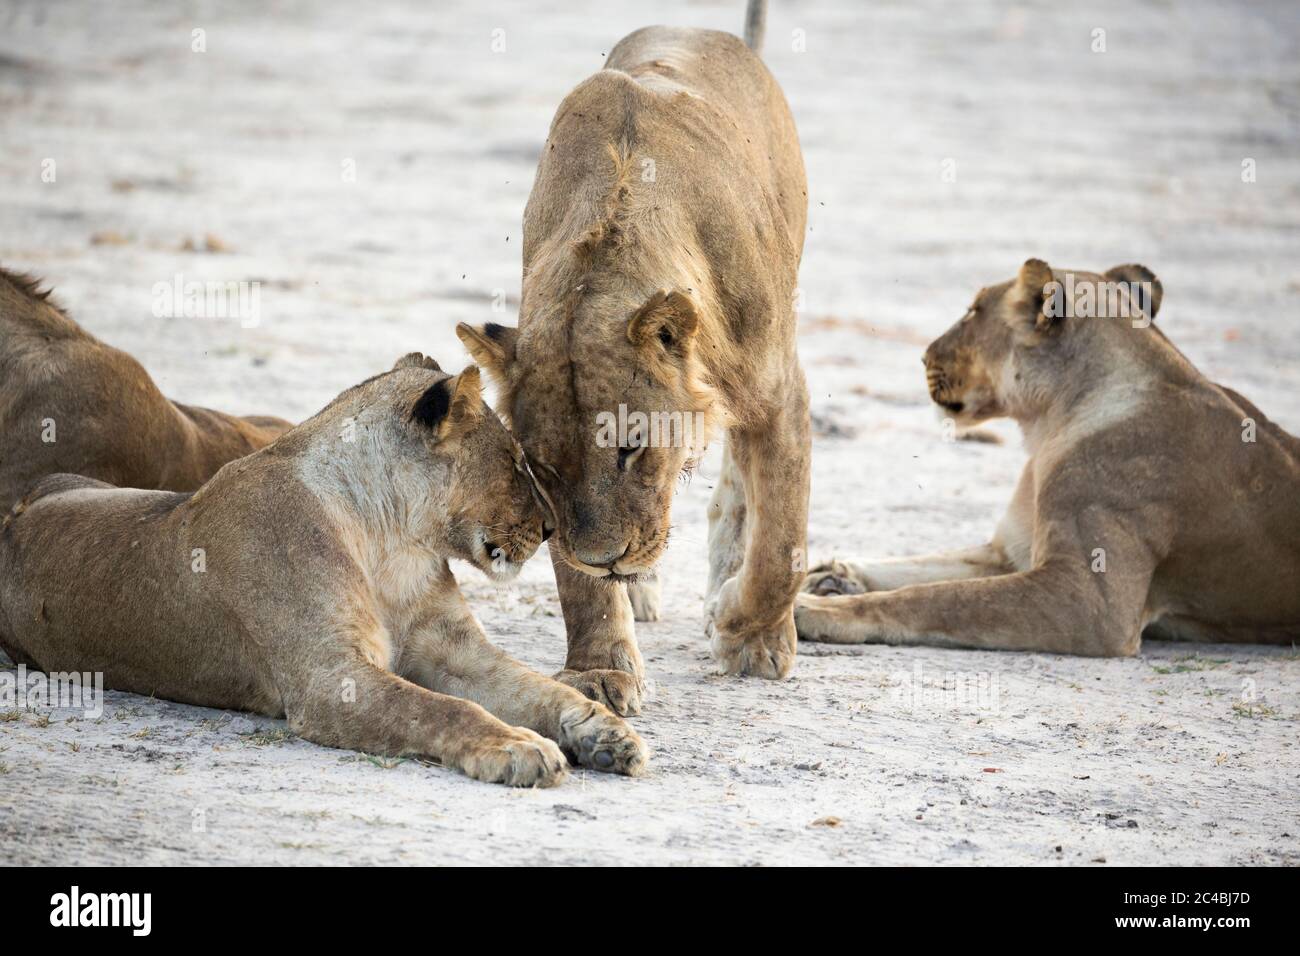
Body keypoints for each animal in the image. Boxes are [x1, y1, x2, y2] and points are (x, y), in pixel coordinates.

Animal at [0, 354, 647, 786]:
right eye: (515, 463)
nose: (549, 528)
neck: (392, 540)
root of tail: (15, 516)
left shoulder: (455, 650)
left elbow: (536, 686)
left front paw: (603, 733)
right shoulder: (328, 677)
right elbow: (440, 708)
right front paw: (517, 747)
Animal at [457, 0, 810, 709]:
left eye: (630, 446)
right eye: (543, 466)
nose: (606, 557)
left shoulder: (780, 391)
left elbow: (781, 539)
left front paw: (752, 637)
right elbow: (577, 580)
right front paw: (599, 670)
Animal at [796, 259, 1300, 655]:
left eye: (974, 311)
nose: (923, 356)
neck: (1047, 426)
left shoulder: (1090, 602)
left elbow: (937, 598)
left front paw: (816, 609)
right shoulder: (1011, 552)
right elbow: (925, 570)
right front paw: (828, 574)